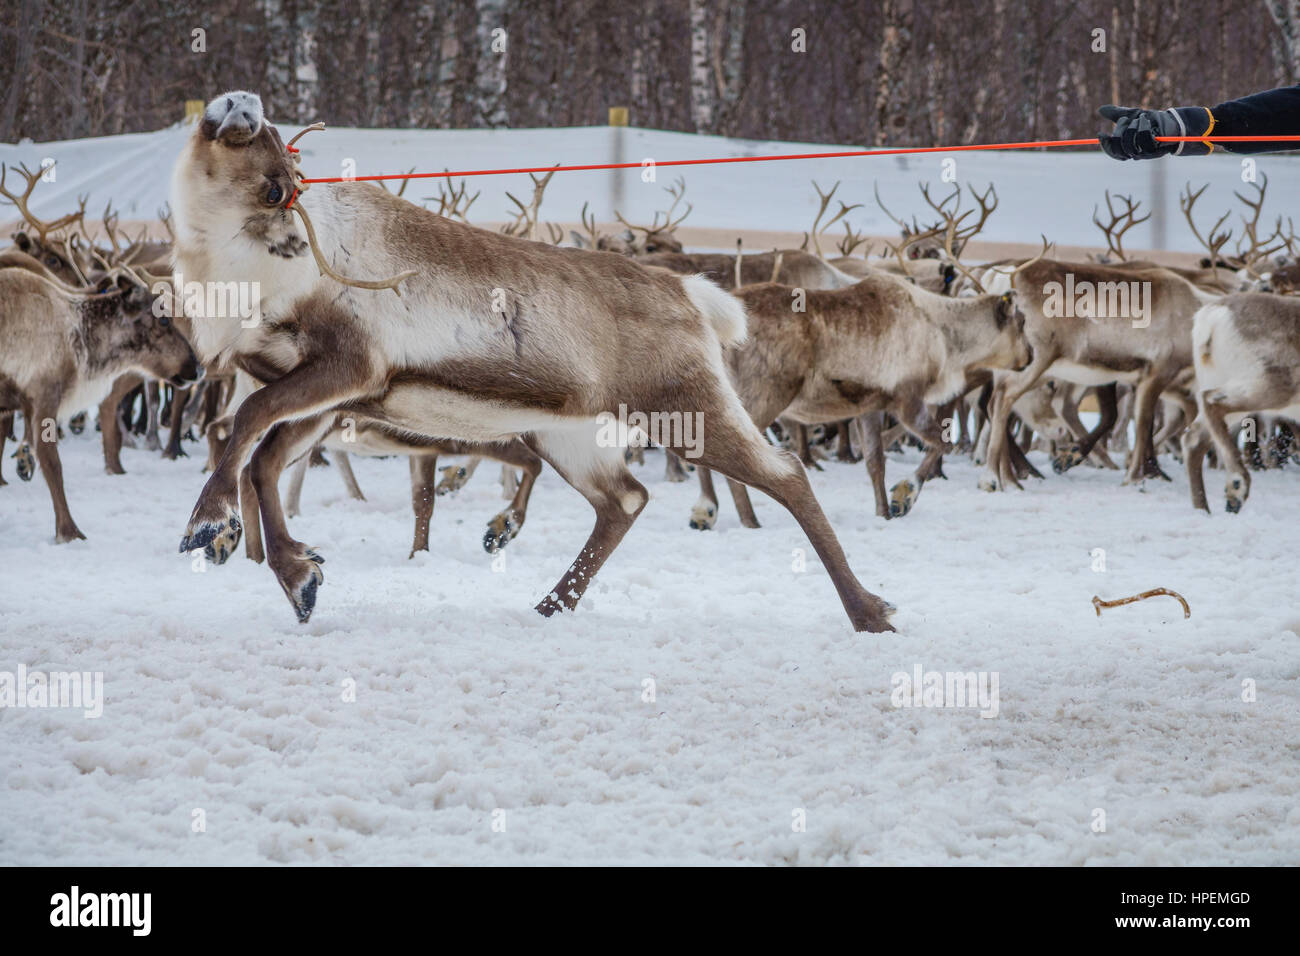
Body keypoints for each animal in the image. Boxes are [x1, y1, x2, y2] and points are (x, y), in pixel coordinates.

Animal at [167, 91, 895, 632]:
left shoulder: (349, 367)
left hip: (688, 408)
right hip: (566, 436)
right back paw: (549, 606)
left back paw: (870, 612)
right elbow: (263, 458)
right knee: (625, 499)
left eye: (280, 172)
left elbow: (248, 428)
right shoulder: (333, 396)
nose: (240, 104)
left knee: (786, 473)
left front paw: (209, 525)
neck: (230, 267)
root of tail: (692, 293)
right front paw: (299, 575)